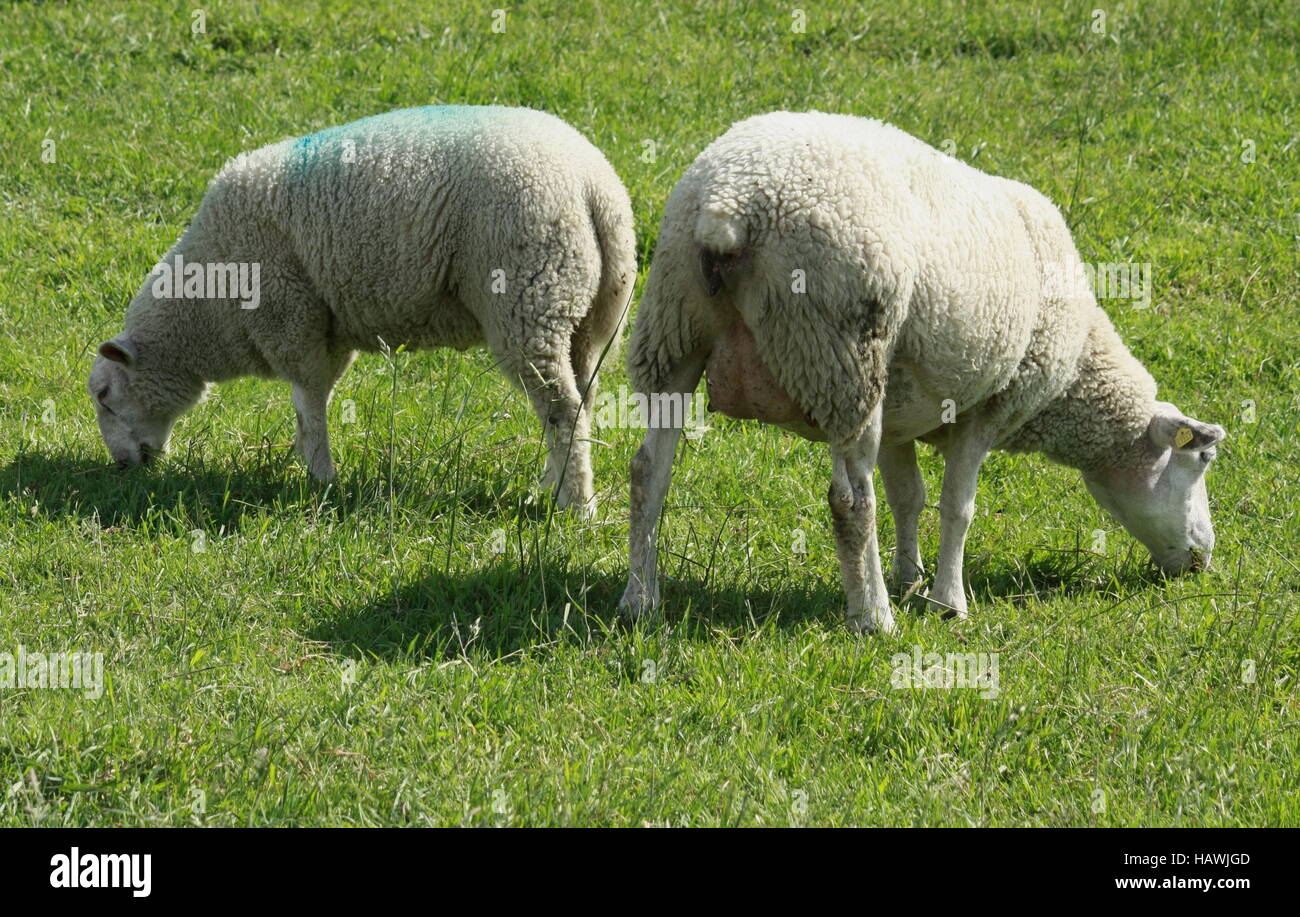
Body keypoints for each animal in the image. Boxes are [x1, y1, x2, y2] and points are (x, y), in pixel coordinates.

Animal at [88, 105, 636, 517]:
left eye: (104, 396)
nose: (121, 467)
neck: (207, 302)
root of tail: (596, 189)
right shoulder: (326, 327)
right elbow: (318, 399)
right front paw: (318, 473)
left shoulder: (290, 320)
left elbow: (308, 406)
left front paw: (319, 479)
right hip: (584, 316)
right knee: (579, 402)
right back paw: (554, 485)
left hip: (527, 301)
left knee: (561, 408)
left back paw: (576, 507)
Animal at [619, 111, 1225, 633]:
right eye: (1201, 460)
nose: (1203, 557)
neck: (1073, 380)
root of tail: (727, 207)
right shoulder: (991, 406)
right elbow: (957, 507)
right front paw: (947, 601)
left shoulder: (900, 415)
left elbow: (907, 496)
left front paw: (909, 578)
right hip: (844, 353)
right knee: (849, 501)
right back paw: (872, 618)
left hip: (673, 329)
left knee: (649, 470)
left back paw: (640, 600)